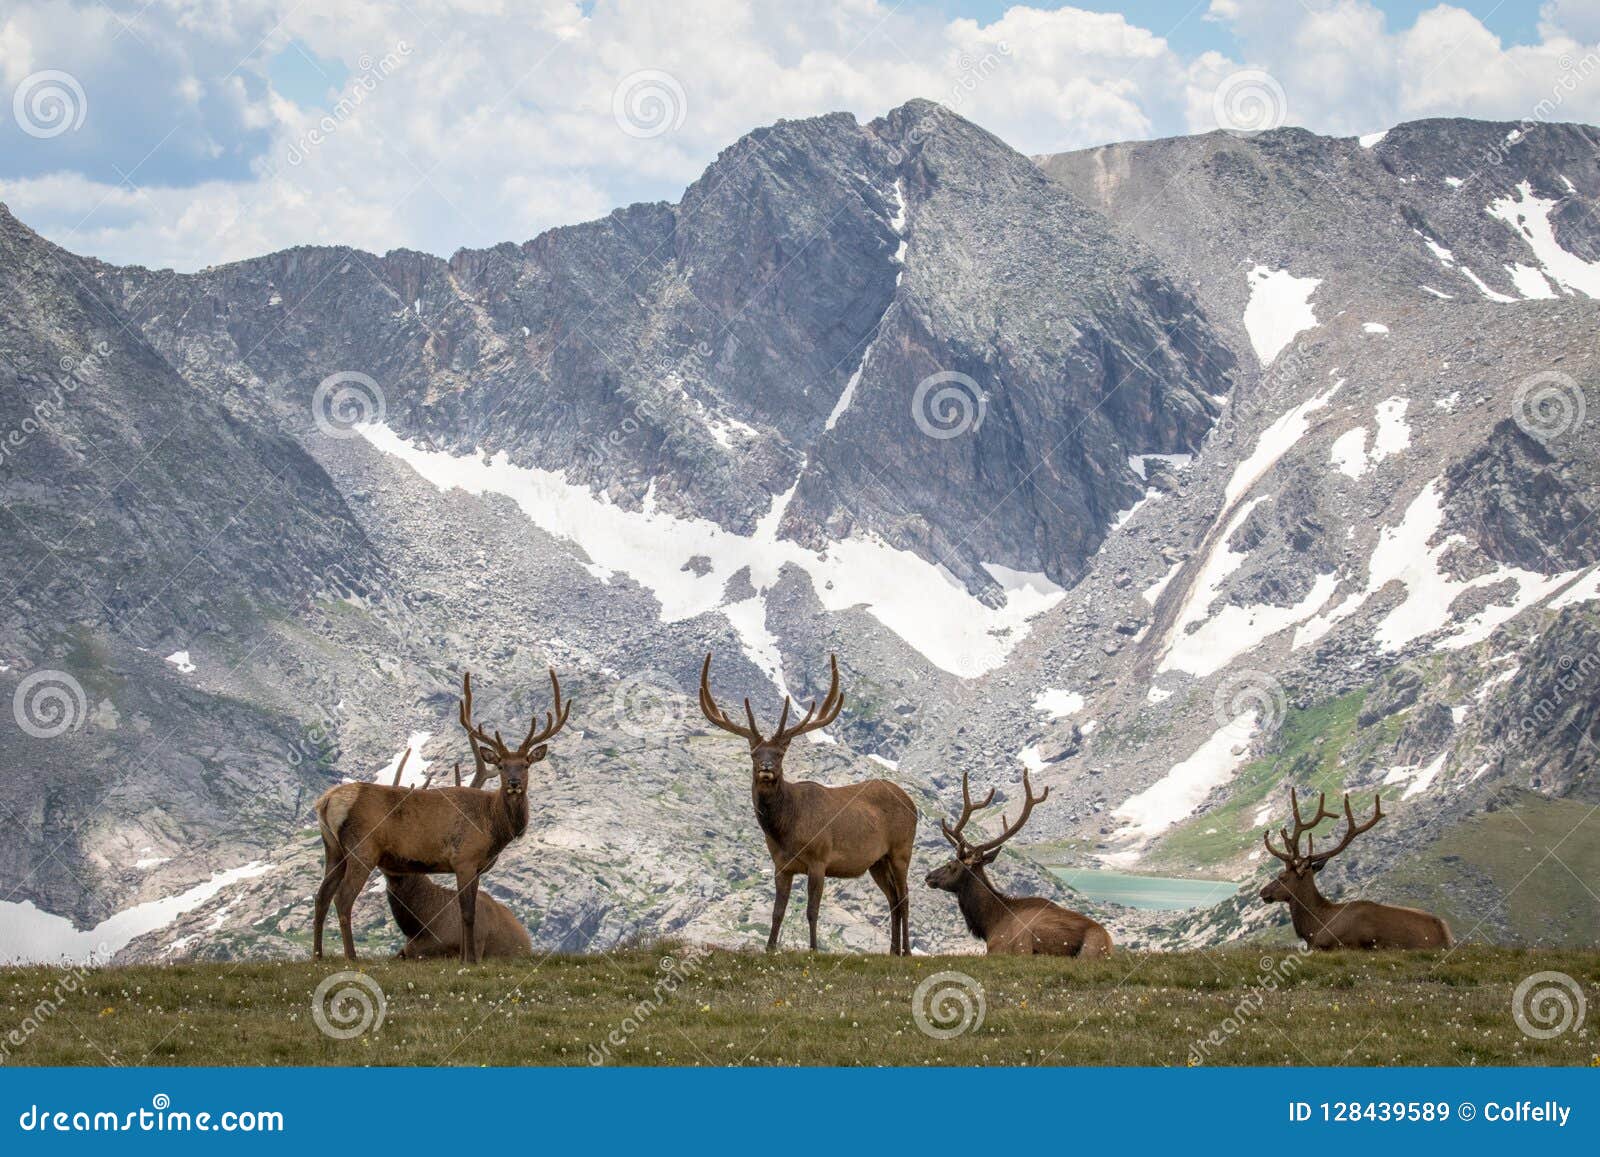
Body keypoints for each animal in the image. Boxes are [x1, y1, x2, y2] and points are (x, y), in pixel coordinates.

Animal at [699, 652, 916, 954]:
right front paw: (770, 948)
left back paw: (906, 950)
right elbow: (777, 911)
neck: (787, 830)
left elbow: (812, 910)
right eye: (754, 753)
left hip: (901, 849)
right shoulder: (781, 866)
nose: (766, 767)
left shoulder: (819, 858)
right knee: (893, 899)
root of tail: (913, 805)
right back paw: (893, 950)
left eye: (779, 754)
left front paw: (813, 949)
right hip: (877, 861)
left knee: (905, 898)